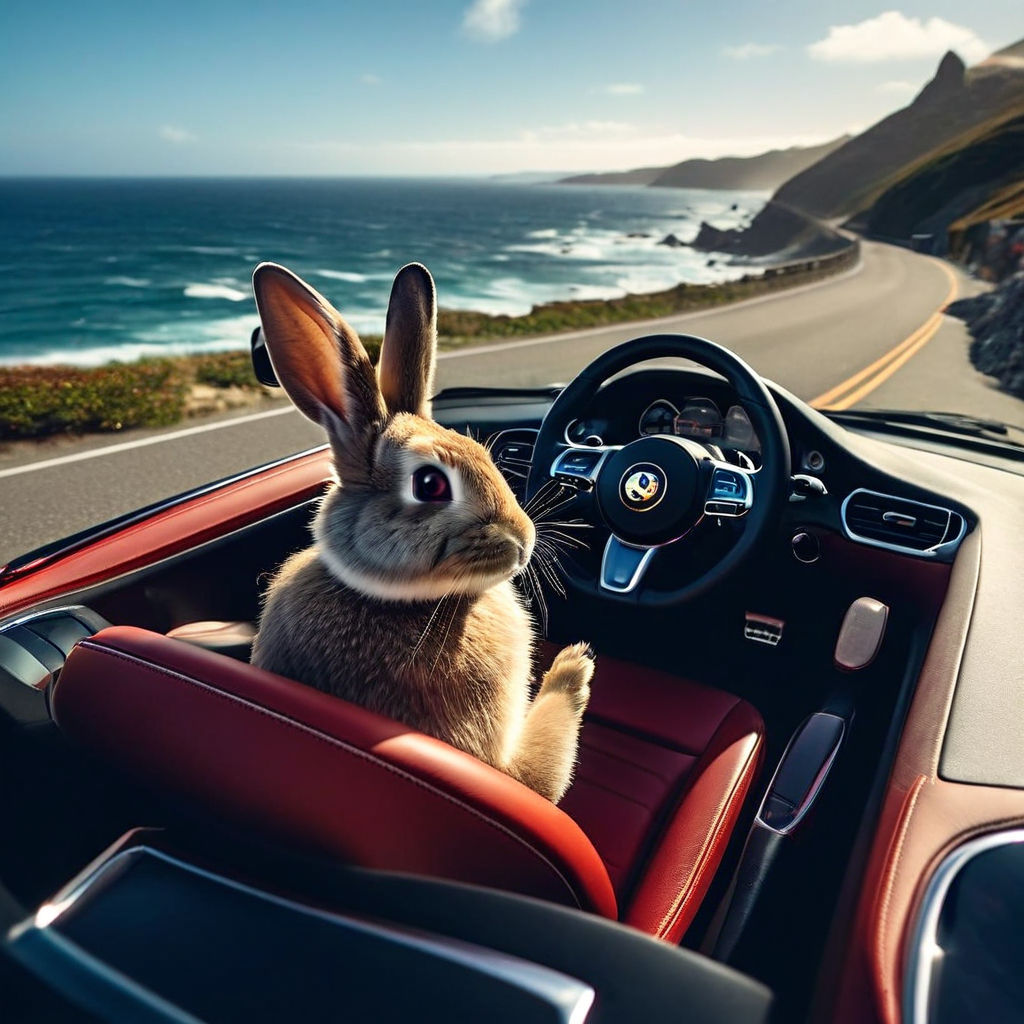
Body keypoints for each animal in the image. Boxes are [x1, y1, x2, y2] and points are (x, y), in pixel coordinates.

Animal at [249, 260, 593, 803]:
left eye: (488, 457)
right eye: (430, 484)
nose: (523, 541)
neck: (393, 599)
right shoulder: (506, 765)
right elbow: (539, 776)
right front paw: (575, 666)